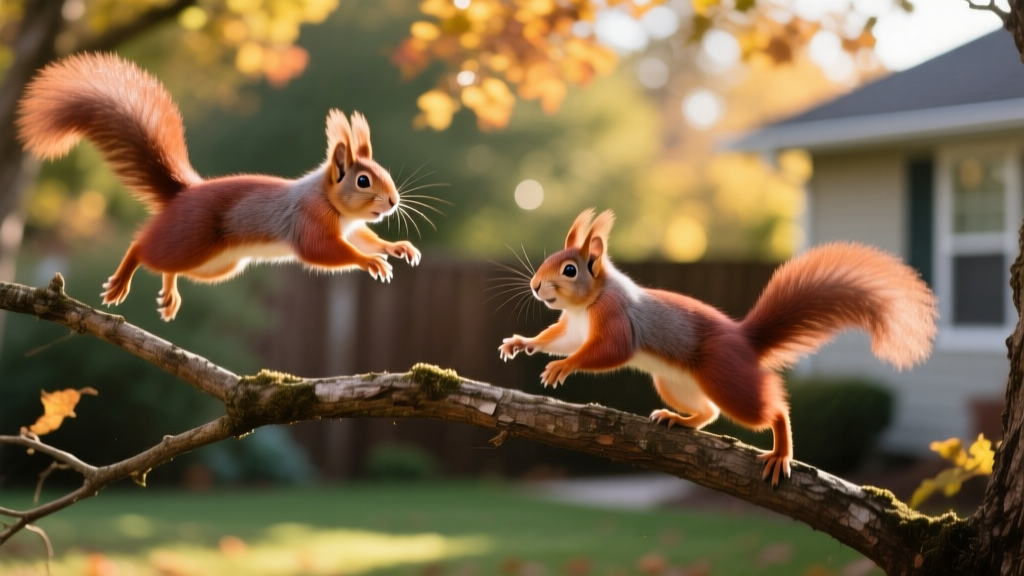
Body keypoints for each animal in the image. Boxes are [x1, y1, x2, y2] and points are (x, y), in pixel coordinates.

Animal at [17, 52, 420, 321]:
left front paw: (396, 247)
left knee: (169, 265)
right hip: (192, 239)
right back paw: (122, 279)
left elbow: (366, 238)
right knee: (141, 248)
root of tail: (183, 193)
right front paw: (369, 262)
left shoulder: (351, 227)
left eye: (382, 170)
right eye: (363, 180)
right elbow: (323, 251)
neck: (331, 202)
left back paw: (170, 292)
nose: (393, 201)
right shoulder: (309, 221)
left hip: (218, 265)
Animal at [499, 208, 937, 485]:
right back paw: (679, 420)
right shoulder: (574, 327)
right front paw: (522, 342)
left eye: (570, 269)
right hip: (674, 383)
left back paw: (780, 452)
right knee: (708, 412)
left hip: (727, 379)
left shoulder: (616, 319)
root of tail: (745, 340)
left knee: (771, 409)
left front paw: (563, 367)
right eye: (551, 260)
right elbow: (559, 340)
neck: (587, 305)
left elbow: (609, 352)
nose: (536, 286)